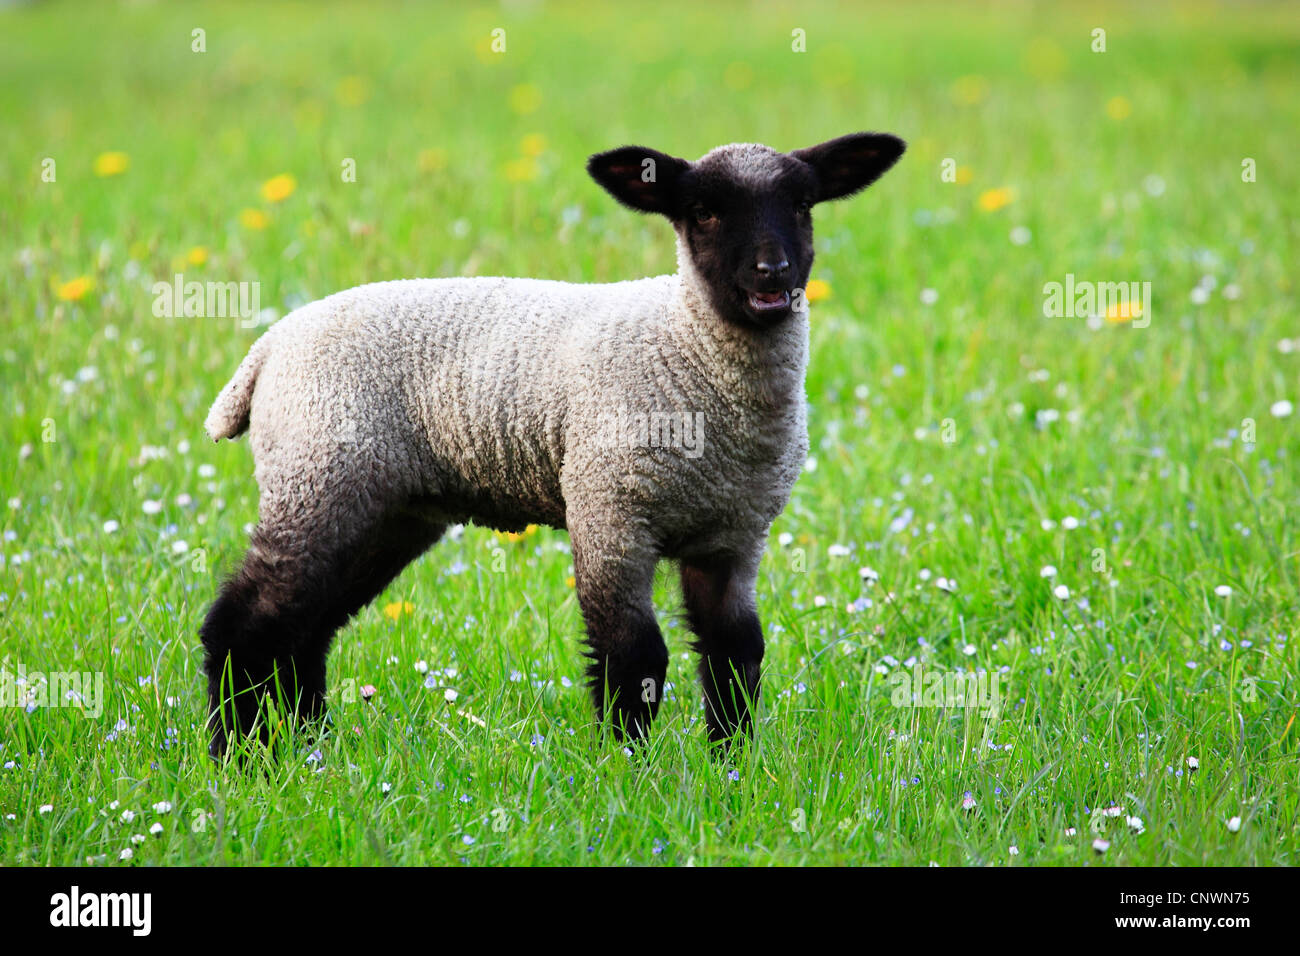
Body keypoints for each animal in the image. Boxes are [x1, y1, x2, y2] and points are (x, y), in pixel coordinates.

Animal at [200, 132, 906, 758]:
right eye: (704, 211)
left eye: (802, 205)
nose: (771, 273)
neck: (687, 347)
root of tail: (266, 350)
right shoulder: (608, 511)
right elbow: (633, 654)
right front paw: (627, 768)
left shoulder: (733, 534)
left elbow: (736, 652)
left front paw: (732, 766)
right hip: (320, 474)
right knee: (247, 624)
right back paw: (238, 756)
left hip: (384, 509)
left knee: (305, 628)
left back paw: (305, 747)